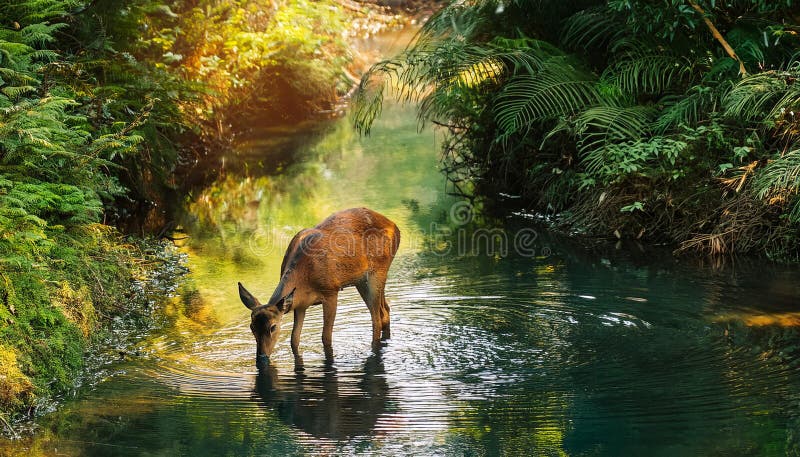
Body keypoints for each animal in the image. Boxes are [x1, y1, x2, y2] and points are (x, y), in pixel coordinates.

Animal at [238, 207, 400, 369]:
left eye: (273, 327)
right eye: (252, 327)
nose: (261, 357)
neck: (305, 275)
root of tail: (395, 227)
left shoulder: (331, 291)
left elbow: (326, 337)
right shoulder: (300, 305)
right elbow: (294, 339)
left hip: (377, 273)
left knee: (376, 319)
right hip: (361, 282)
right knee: (385, 311)